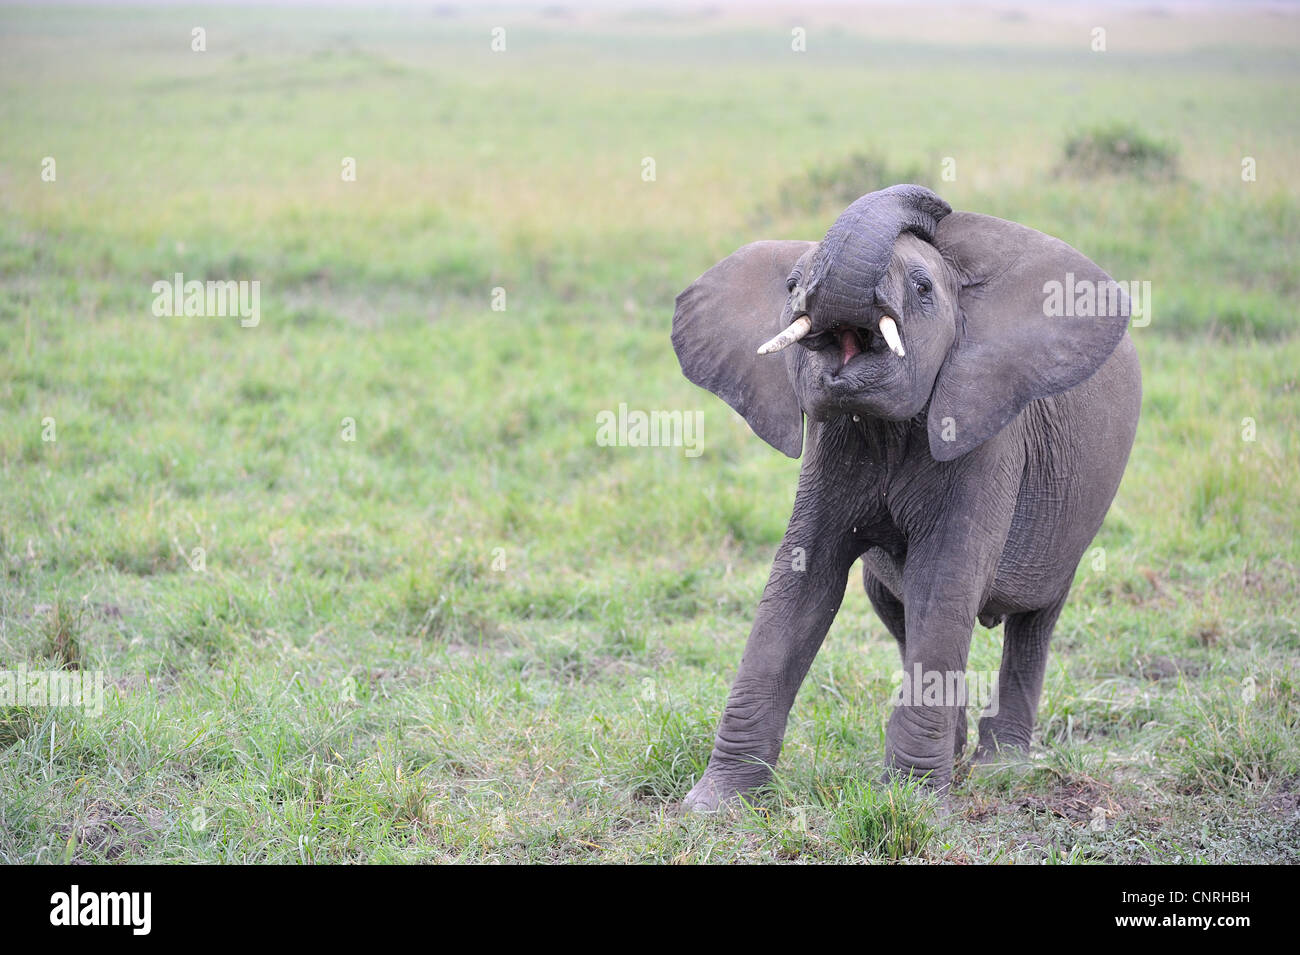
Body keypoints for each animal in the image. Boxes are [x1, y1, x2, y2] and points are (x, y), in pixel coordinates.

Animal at [671, 184, 1141, 811]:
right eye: (791, 285)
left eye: (922, 290)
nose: (931, 204)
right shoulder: (832, 445)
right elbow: (803, 581)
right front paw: (714, 806)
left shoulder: (988, 435)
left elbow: (943, 580)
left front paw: (913, 804)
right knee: (894, 606)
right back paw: (959, 751)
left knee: (1033, 618)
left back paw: (1000, 768)